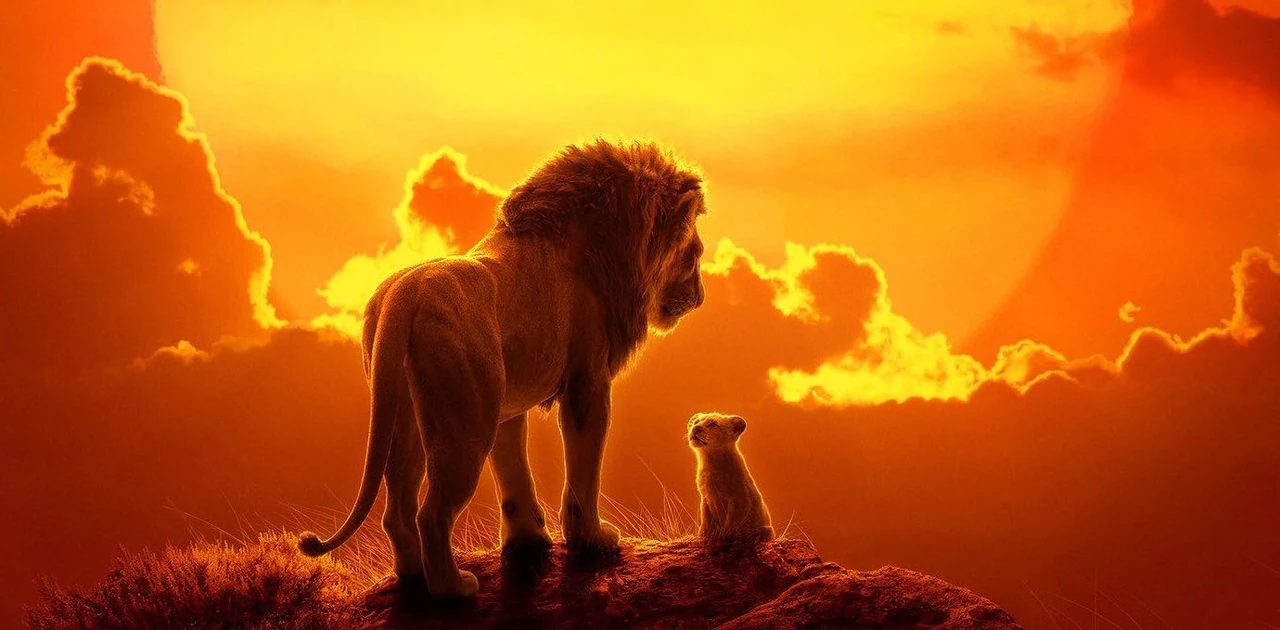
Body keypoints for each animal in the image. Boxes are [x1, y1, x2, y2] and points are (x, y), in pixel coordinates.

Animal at [299, 140, 707, 598]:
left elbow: (513, 473)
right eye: (695, 255)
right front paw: (593, 541)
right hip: (465, 425)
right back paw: (453, 589)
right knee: (432, 514)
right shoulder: (587, 382)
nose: (701, 297)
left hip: (405, 417)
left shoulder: (507, 404)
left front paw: (527, 541)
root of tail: (404, 295)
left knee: (398, 510)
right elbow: (584, 471)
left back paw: (413, 577)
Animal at [688, 413, 774, 543]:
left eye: (713, 424)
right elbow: (705, 519)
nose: (696, 428)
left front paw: (724, 536)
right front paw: (704, 535)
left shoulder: (739, 497)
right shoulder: (705, 497)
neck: (709, 461)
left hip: (766, 529)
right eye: (696, 422)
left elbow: (732, 521)